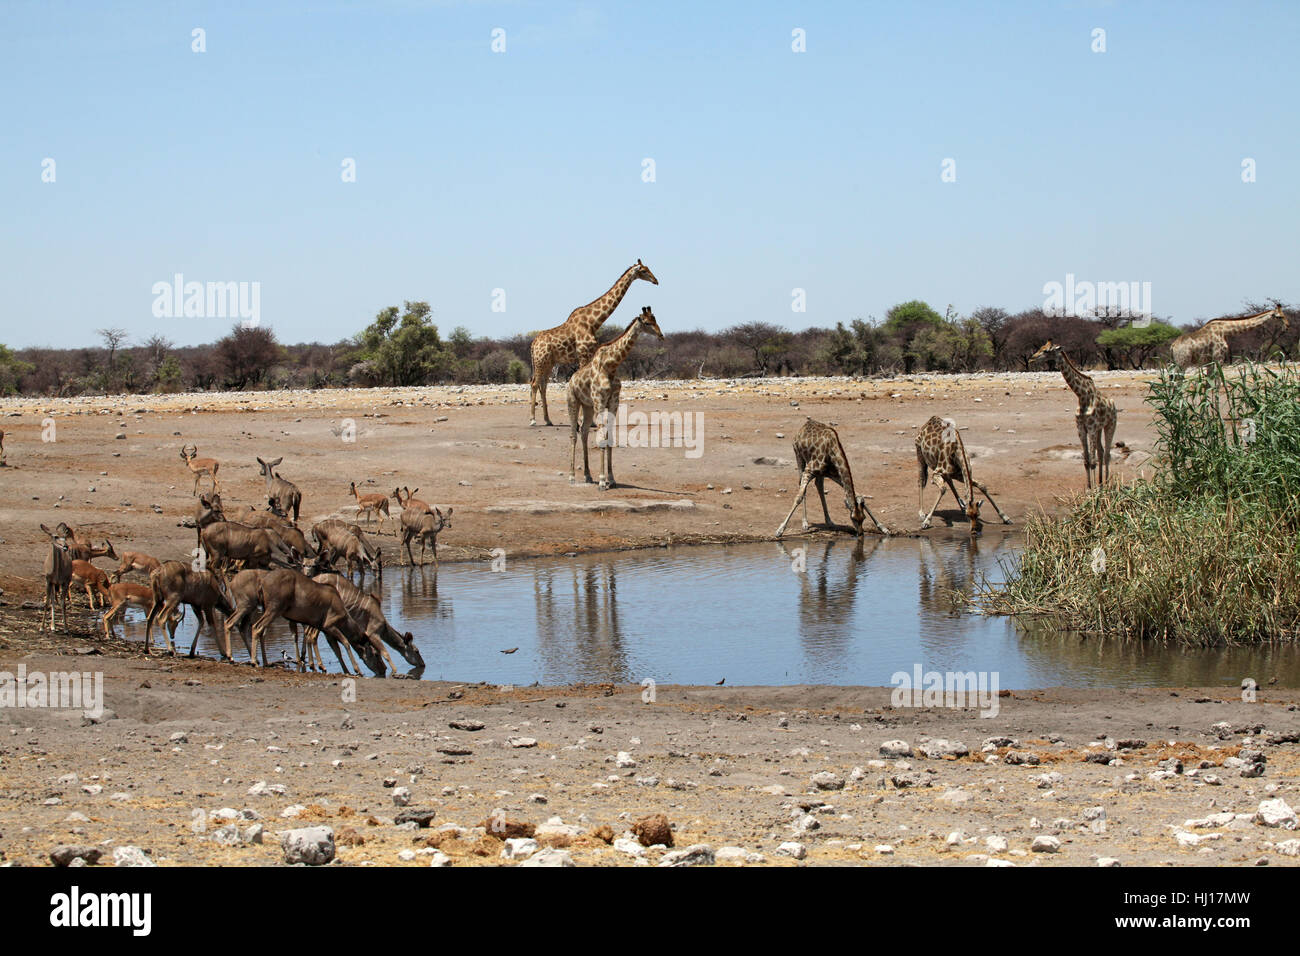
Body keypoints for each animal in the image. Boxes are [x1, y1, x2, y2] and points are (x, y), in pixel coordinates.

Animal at [247, 568, 383, 675]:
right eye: (376, 654)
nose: (384, 669)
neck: (344, 616)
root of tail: (262, 583)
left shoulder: (321, 627)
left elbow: (336, 649)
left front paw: (345, 670)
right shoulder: (328, 625)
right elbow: (345, 642)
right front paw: (357, 670)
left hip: (268, 609)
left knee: (262, 631)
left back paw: (265, 662)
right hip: (274, 609)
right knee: (257, 626)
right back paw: (254, 662)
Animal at [530, 259, 659, 426]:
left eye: (648, 268)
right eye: (643, 271)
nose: (656, 281)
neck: (593, 322)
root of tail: (533, 344)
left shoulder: (589, 353)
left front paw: (588, 421)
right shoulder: (583, 353)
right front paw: (583, 420)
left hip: (548, 362)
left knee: (543, 385)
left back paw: (548, 420)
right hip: (540, 361)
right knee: (534, 384)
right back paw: (533, 420)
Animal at [567, 306, 665, 490]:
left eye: (655, 320)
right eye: (647, 322)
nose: (661, 335)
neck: (611, 366)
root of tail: (571, 380)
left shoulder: (613, 402)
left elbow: (610, 439)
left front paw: (611, 479)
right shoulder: (599, 401)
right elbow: (601, 439)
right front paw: (602, 481)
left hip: (587, 406)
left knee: (583, 432)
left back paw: (588, 475)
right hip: (573, 402)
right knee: (573, 435)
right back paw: (571, 477)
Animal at [1029, 341, 1118, 489]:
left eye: (1046, 351)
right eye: (1040, 348)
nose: (1031, 359)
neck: (1082, 396)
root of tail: (1113, 405)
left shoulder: (1091, 428)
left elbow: (1092, 462)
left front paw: (1094, 491)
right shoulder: (1081, 428)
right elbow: (1086, 461)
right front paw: (1089, 488)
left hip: (1110, 425)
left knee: (1107, 455)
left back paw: (1106, 484)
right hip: (1099, 429)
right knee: (1101, 452)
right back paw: (1100, 483)